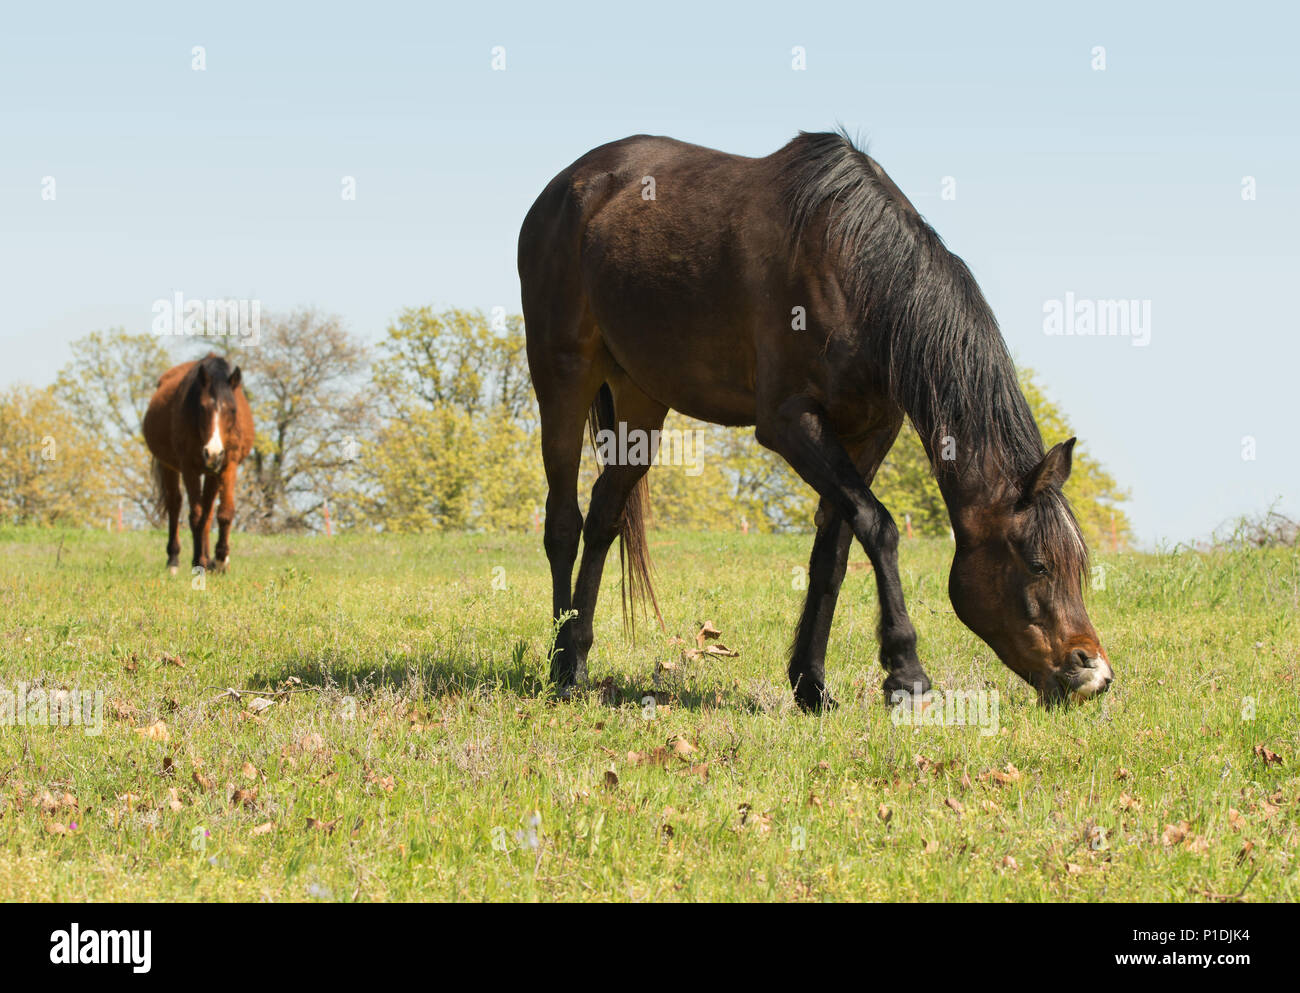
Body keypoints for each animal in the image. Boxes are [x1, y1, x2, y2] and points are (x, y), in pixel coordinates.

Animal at [142, 354, 254, 575]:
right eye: (202, 408)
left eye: (233, 409)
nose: (212, 453)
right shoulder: (189, 468)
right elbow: (196, 515)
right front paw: (198, 561)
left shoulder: (228, 465)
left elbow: (224, 512)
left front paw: (221, 560)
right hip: (169, 466)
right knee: (175, 505)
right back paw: (174, 559)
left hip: (212, 473)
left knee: (208, 514)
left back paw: (208, 560)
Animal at [517, 130, 1114, 710]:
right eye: (1038, 564)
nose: (1094, 673)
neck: (854, 269)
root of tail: (565, 187)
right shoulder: (790, 423)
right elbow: (879, 526)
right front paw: (907, 673)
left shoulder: (870, 432)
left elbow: (835, 550)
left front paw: (811, 683)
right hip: (563, 377)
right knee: (563, 521)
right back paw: (560, 668)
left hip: (641, 402)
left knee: (604, 515)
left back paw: (578, 655)